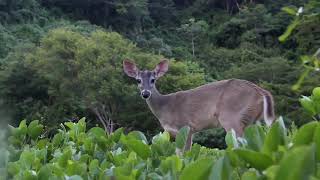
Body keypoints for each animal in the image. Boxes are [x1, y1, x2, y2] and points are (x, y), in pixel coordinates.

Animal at [123, 59, 276, 151]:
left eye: (153, 80)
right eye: (138, 80)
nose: (145, 93)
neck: (165, 107)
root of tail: (260, 91)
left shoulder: (186, 127)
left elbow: (185, 154)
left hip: (232, 117)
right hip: (253, 120)